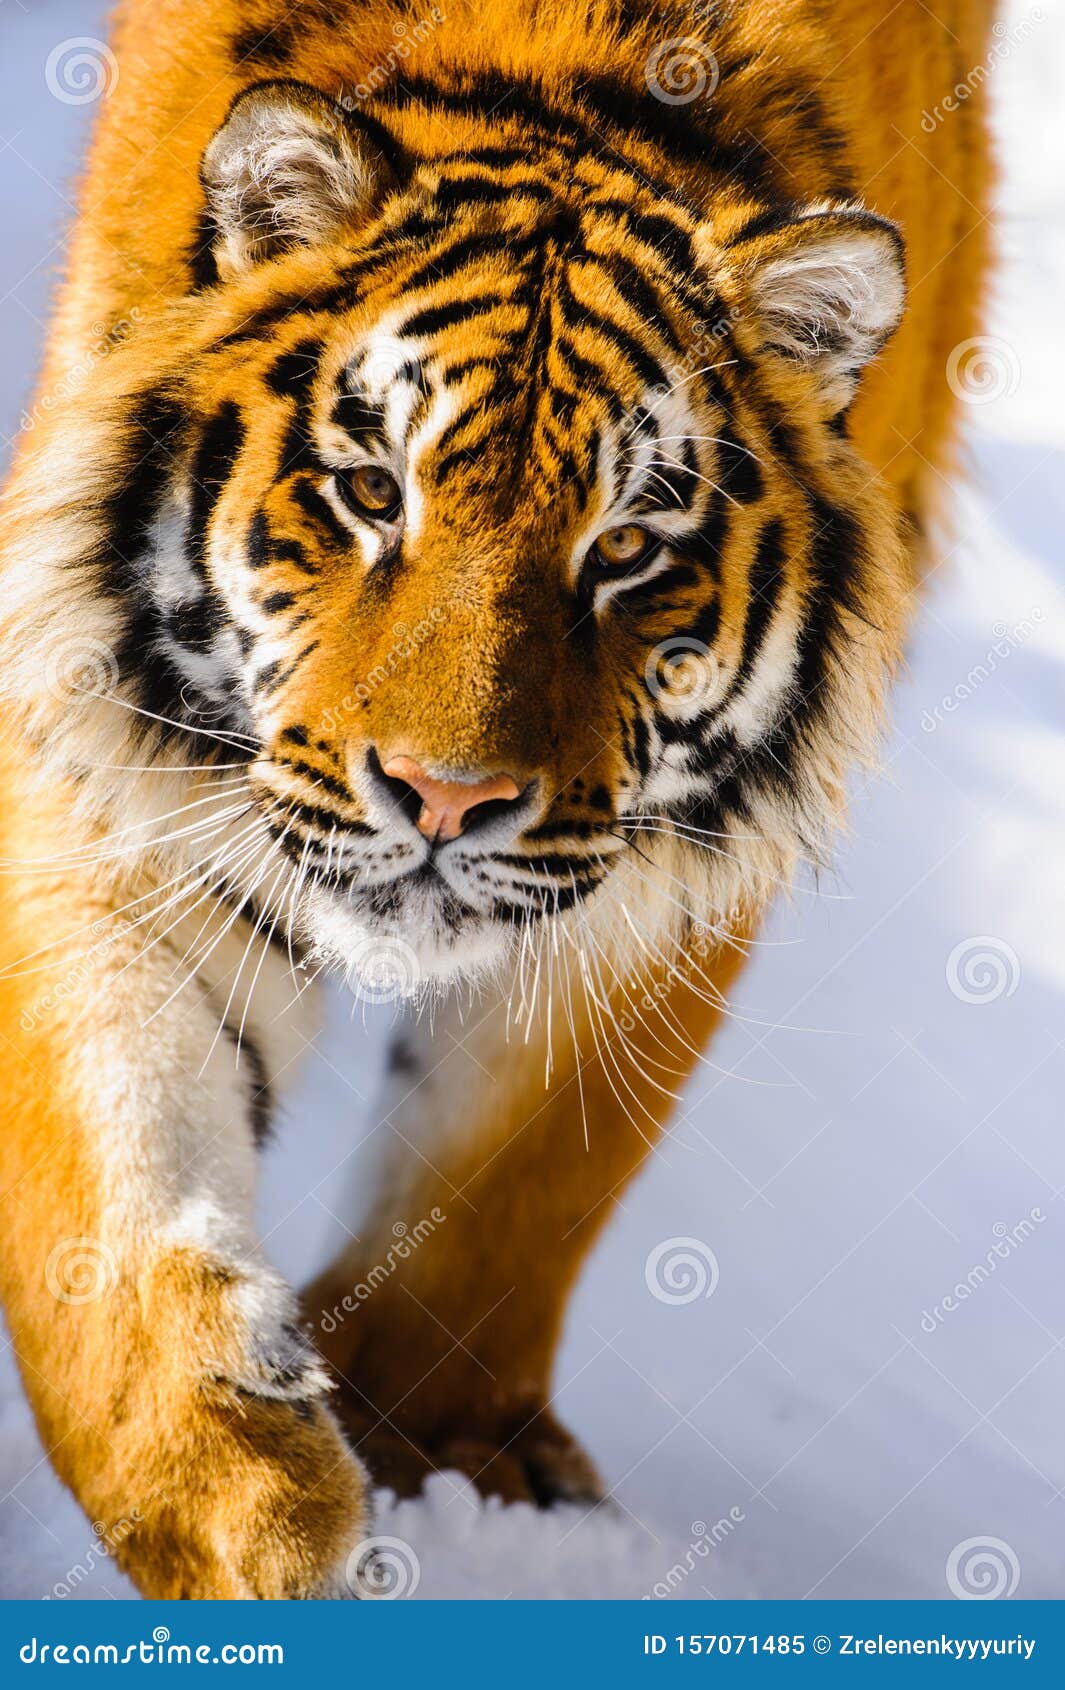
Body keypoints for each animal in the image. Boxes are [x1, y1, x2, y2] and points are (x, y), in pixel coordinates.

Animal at [0, 0, 993, 1599]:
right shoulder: (121, 771)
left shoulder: (662, 884)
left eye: (629, 547)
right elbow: (101, 1158)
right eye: (369, 492)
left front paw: (436, 1455)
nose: (443, 797)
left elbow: (522, 1176)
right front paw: (237, 1498)